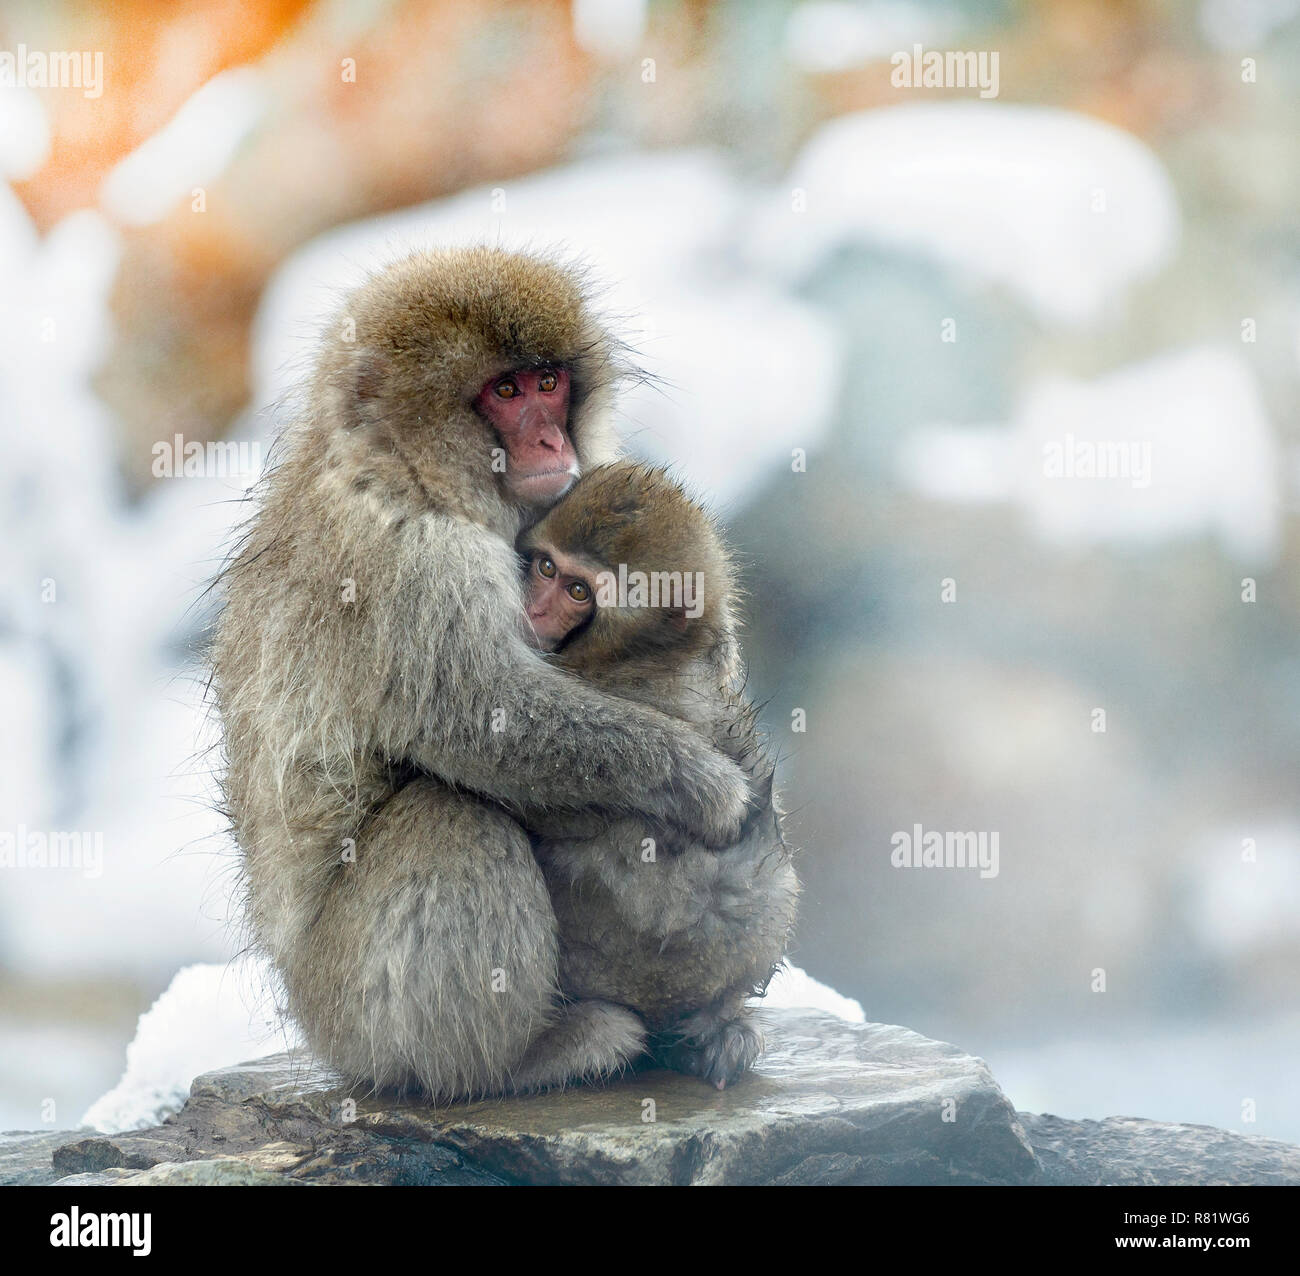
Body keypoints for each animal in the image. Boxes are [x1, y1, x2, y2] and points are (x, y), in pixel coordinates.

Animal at [211, 247, 753, 1102]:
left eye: (547, 382)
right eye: (504, 393)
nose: (549, 442)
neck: (408, 471)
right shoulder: (410, 559)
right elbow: (482, 718)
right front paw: (701, 782)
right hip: (348, 1013)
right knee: (452, 815)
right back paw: (521, 1060)